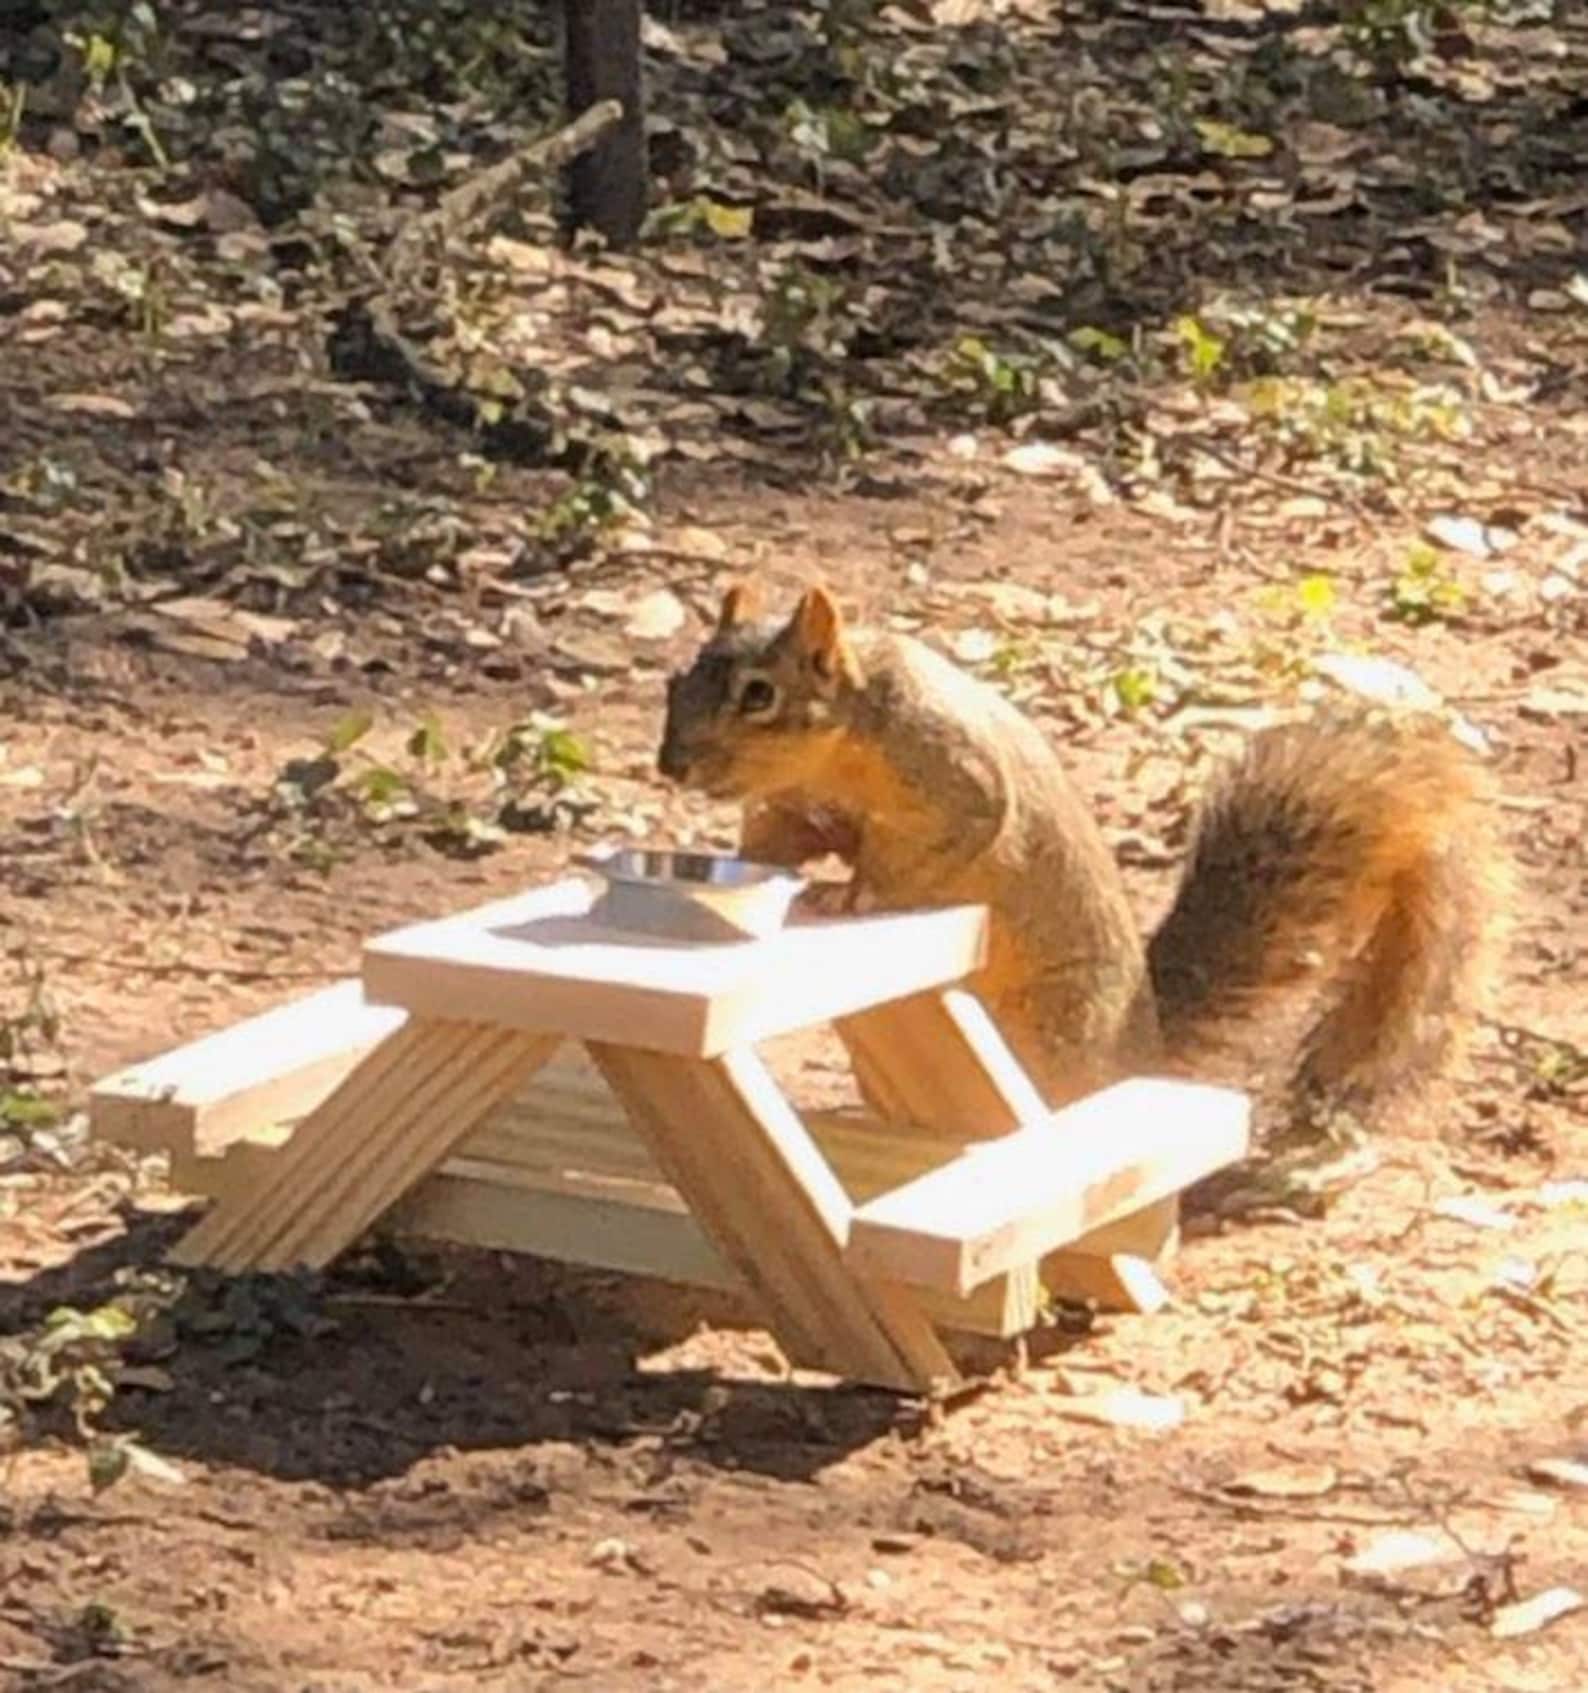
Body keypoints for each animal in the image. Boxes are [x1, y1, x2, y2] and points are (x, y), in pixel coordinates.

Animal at [657, 582, 1511, 1129]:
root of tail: (1142, 1057)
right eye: (676, 678)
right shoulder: (795, 803)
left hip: (1058, 1026)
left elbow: (932, 849)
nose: (671, 765)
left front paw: (850, 894)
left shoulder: (957, 777)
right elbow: (787, 837)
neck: (837, 751)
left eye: (759, 695)